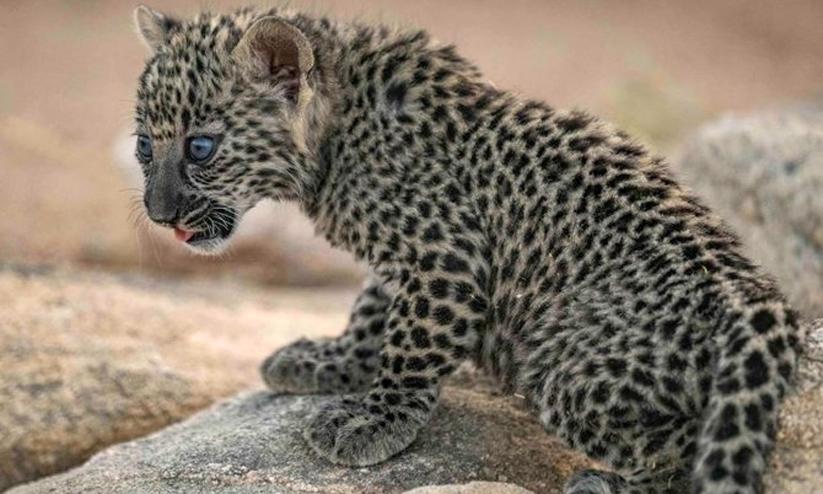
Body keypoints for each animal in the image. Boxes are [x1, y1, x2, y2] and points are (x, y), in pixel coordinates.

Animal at [131, 5, 803, 493]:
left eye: (200, 147)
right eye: (143, 146)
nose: (159, 216)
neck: (338, 137)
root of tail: (748, 293)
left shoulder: (443, 256)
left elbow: (410, 342)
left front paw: (372, 419)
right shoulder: (404, 258)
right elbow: (372, 308)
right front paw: (329, 359)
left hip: (568, 369)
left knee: (688, 443)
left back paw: (610, 485)